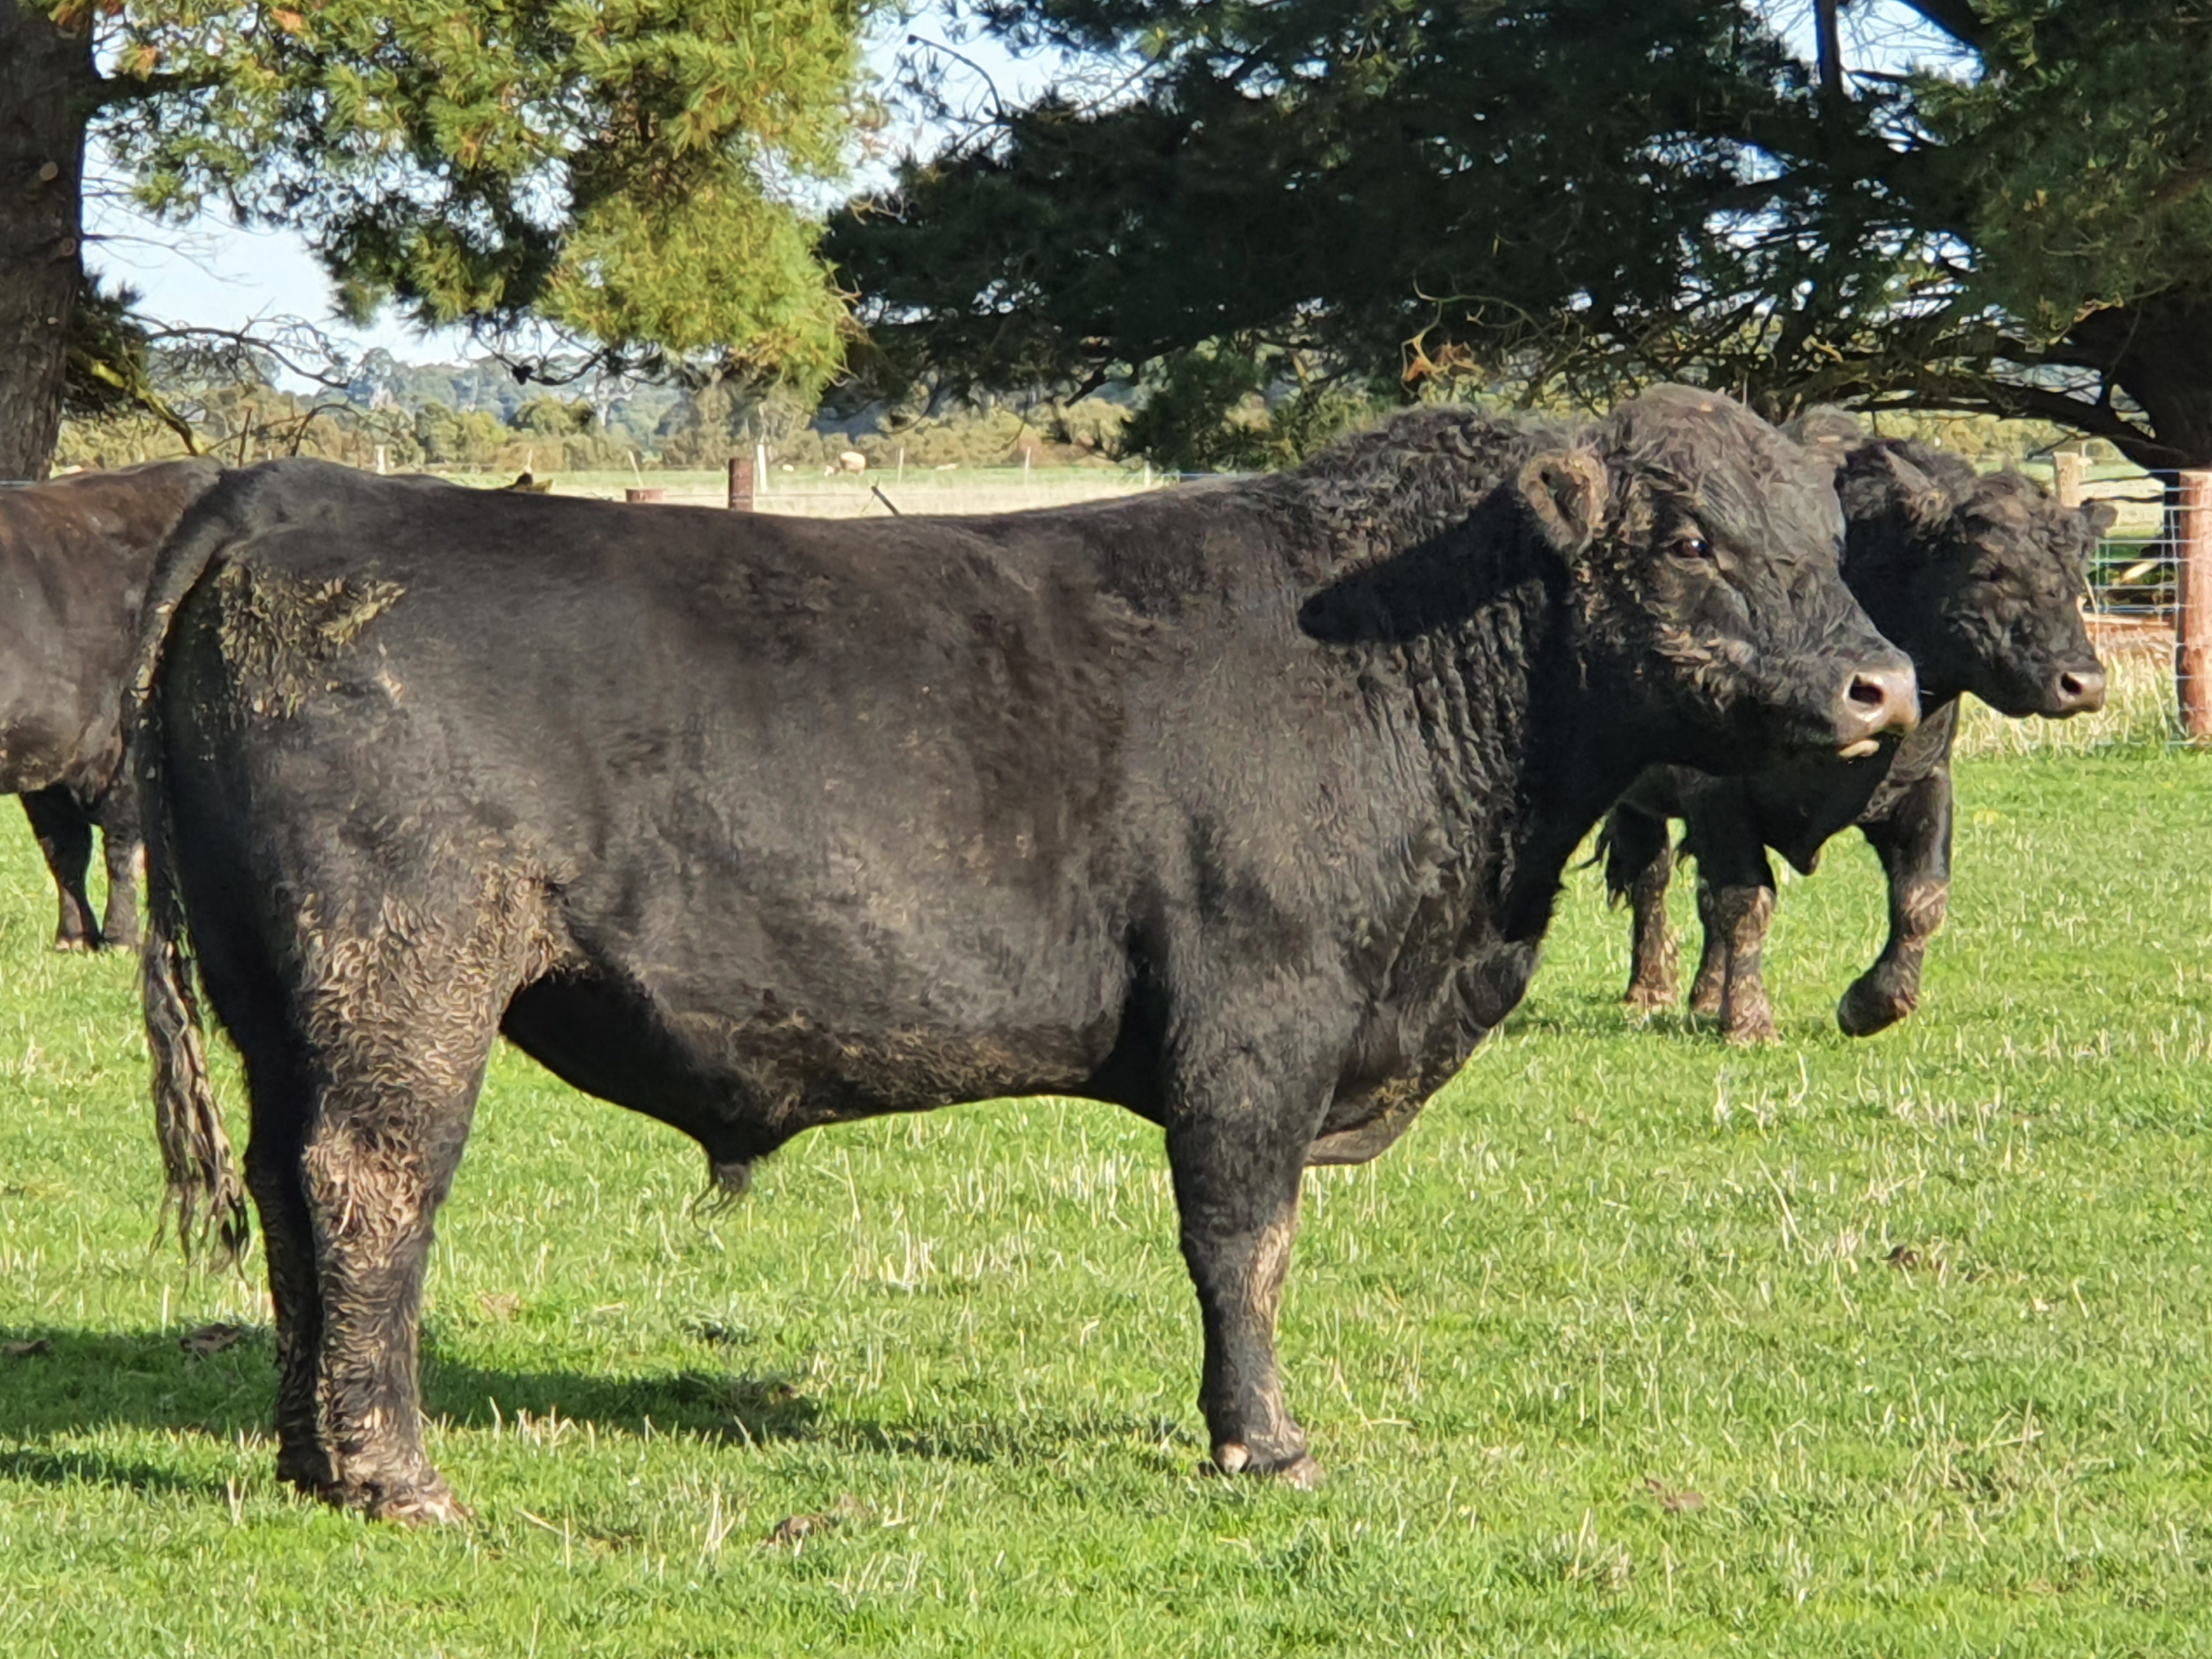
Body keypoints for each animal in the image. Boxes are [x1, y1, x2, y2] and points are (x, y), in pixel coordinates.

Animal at [133, 387, 1915, 1522]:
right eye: (1684, 538)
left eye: (1828, 538)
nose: (1882, 686)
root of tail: (304, 492)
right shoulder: (1256, 1023)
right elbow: (1241, 1243)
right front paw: (1261, 1445)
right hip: (400, 973)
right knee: (369, 1184)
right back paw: (397, 1475)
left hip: (275, 993)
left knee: (288, 1190)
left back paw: (311, 1457)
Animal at [1601, 429, 2112, 1043]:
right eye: (1989, 569)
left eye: (2076, 575)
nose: (2082, 682)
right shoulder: (1718, 798)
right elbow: (1745, 902)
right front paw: (1749, 1021)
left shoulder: (1925, 784)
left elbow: (1923, 898)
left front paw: (1872, 1003)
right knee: (1650, 878)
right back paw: (1650, 988)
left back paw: (1702, 996)